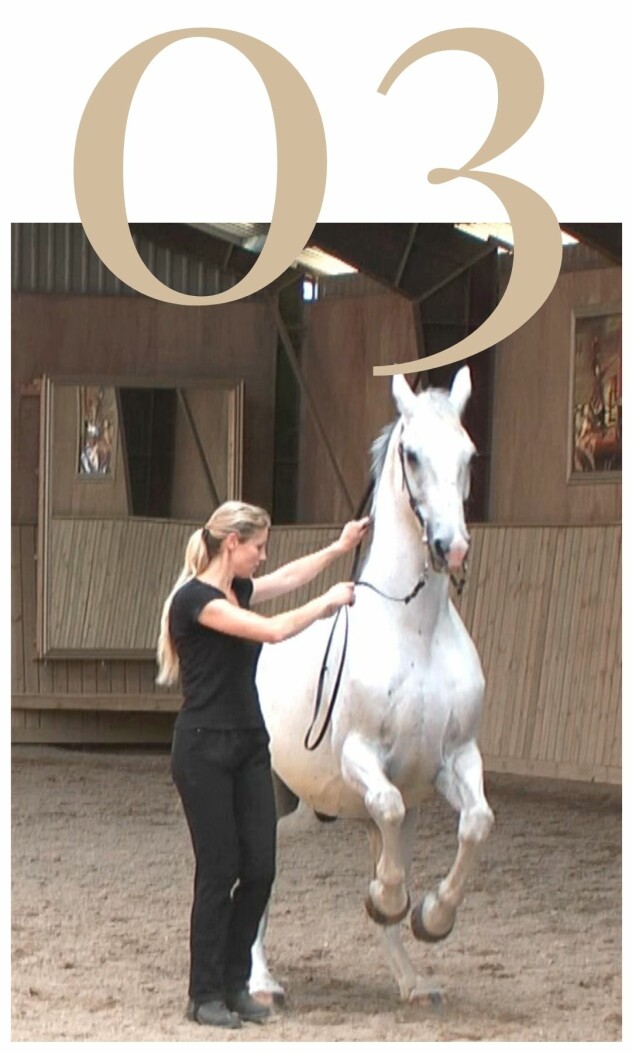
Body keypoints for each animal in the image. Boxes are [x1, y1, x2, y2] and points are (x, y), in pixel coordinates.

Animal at [251, 365, 495, 1004]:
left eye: (469, 453)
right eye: (411, 455)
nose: (451, 547)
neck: (414, 631)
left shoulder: (455, 758)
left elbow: (476, 823)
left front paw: (430, 916)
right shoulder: (362, 755)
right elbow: (386, 809)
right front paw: (390, 900)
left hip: (321, 812)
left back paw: (413, 983)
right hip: (270, 802)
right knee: (252, 880)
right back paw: (259, 981)